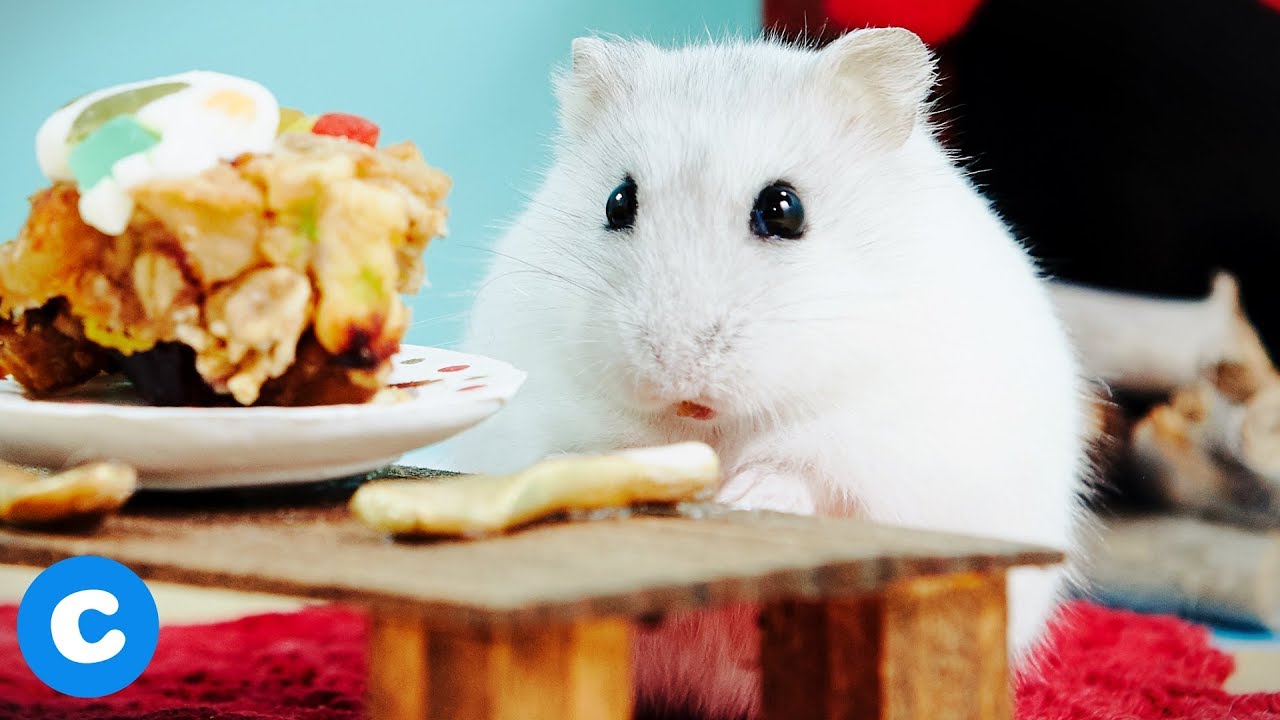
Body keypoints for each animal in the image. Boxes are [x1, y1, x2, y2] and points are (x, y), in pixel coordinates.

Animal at [445, 29, 1094, 720]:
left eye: (786, 210)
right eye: (617, 202)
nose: (681, 387)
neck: (713, 430)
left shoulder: (877, 442)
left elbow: (807, 472)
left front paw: (742, 495)